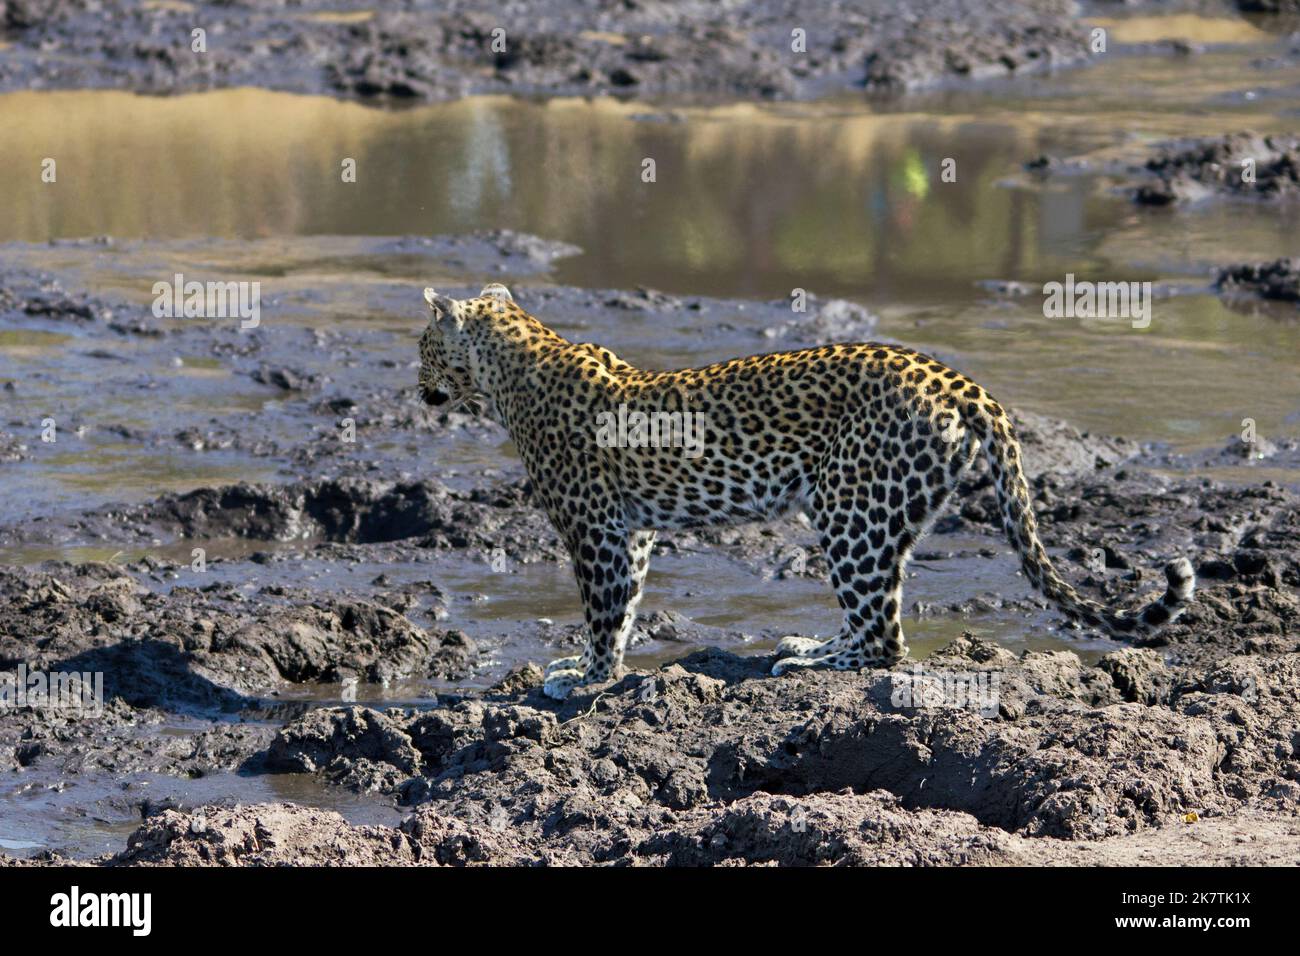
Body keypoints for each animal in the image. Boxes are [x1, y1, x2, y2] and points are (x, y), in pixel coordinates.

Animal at [418, 283, 1196, 700]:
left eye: (422, 347)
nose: (417, 387)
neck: (511, 364)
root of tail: (961, 381)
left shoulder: (596, 532)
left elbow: (605, 611)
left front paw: (586, 677)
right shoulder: (631, 531)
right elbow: (627, 603)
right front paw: (586, 668)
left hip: (848, 504)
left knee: (886, 641)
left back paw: (806, 663)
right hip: (877, 511)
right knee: (877, 612)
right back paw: (810, 644)